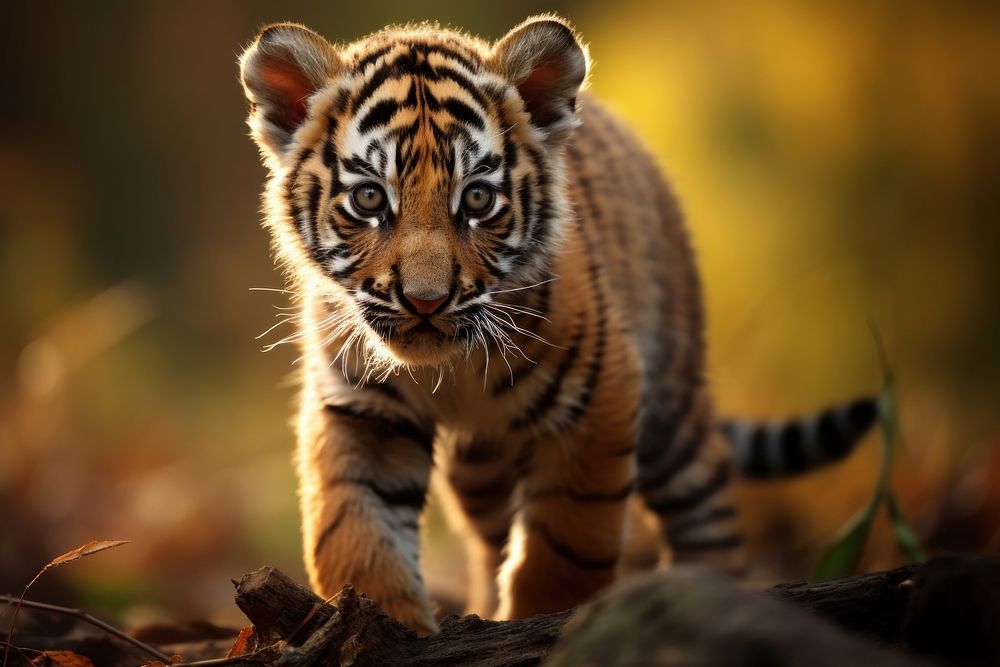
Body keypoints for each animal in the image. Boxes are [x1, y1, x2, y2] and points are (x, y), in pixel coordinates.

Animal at [238, 15, 876, 634]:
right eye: (370, 199)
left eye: (477, 200)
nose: (424, 302)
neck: (452, 368)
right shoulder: (361, 411)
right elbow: (353, 534)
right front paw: (384, 627)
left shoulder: (597, 401)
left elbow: (565, 546)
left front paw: (542, 623)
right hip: (480, 473)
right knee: (490, 534)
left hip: (670, 406)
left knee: (708, 501)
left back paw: (710, 593)